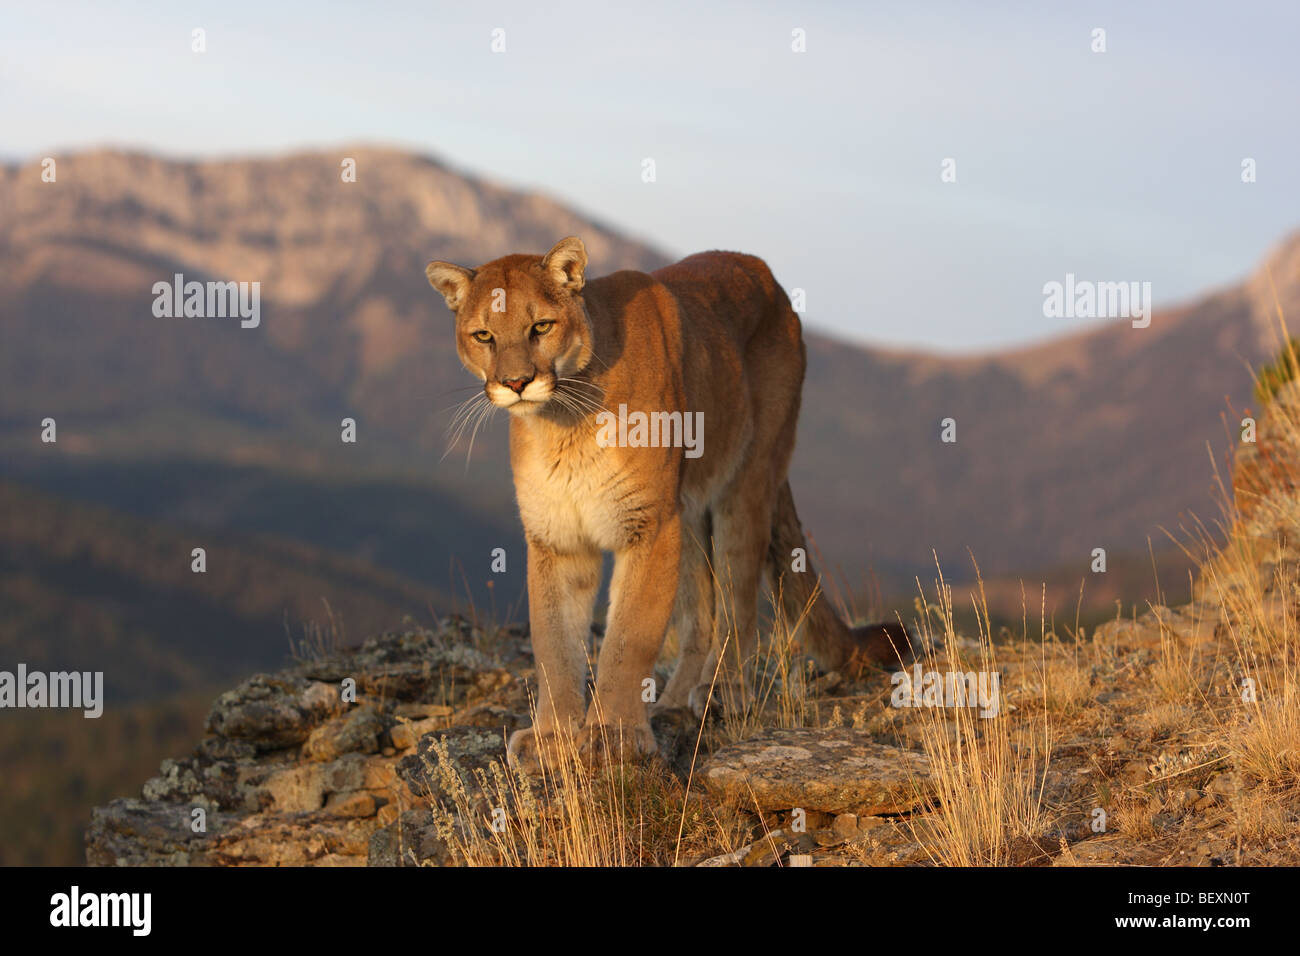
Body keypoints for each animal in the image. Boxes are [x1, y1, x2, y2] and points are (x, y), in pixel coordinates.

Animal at [426, 237, 909, 770]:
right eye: (483, 335)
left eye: (541, 327)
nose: (515, 382)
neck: (565, 424)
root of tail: (767, 276)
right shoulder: (557, 537)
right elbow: (554, 642)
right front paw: (552, 737)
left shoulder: (649, 524)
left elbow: (628, 638)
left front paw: (613, 735)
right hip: (690, 515)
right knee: (700, 614)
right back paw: (676, 701)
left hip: (746, 483)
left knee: (738, 602)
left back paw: (721, 691)